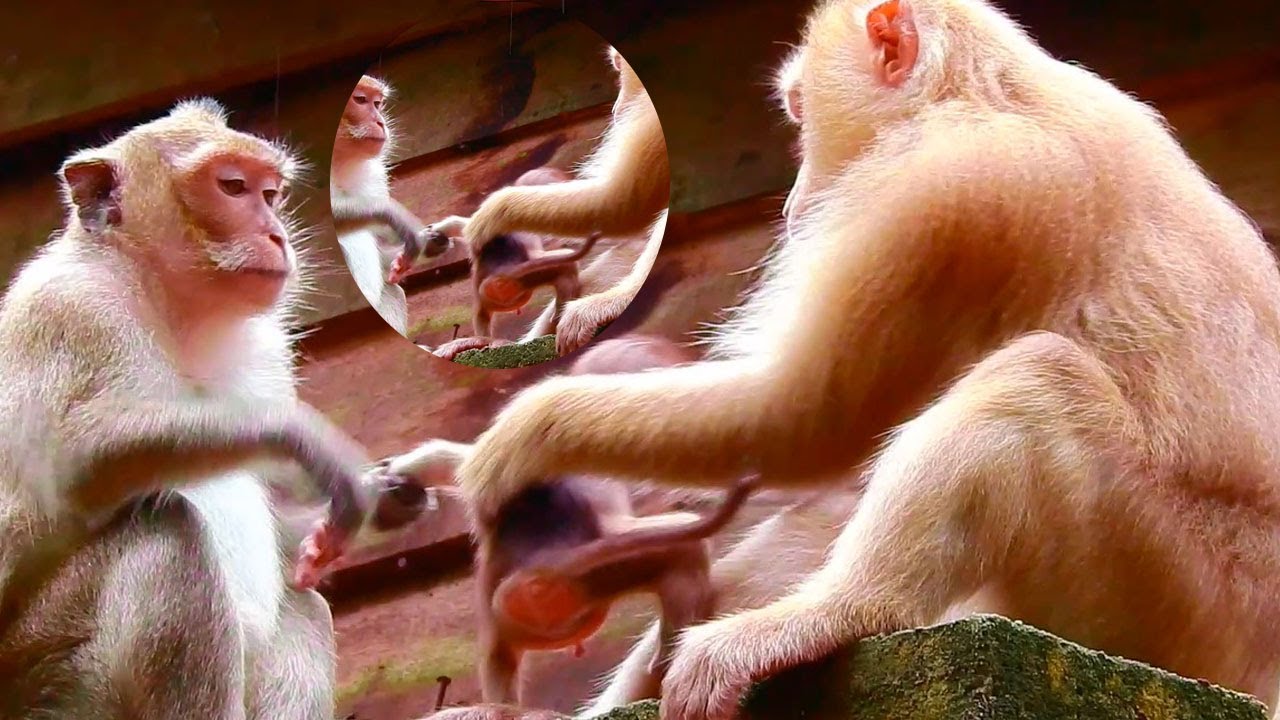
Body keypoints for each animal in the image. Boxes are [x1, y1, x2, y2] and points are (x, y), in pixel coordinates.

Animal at [0, 98, 393, 718]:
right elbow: (74, 460)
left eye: (270, 193)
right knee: (166, 530)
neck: (170, 307)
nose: (276, 234)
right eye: (232, 187)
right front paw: (300, 437)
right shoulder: (72, 311)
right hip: (41, 672)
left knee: (301, 603)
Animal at [331, 74, 450, 337]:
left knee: (392, 291)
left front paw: (431, 242)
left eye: (378, 104)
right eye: (360, 100)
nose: (380, 122)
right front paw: (392, 214)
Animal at [442, 1, 1280, 718]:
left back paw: (841, 613)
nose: (792, 200)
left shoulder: (947, 191)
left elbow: (803, 418)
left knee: (1036, 379)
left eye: (802, 112)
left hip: (1176, 596)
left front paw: (523, 438)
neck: (988, 87)